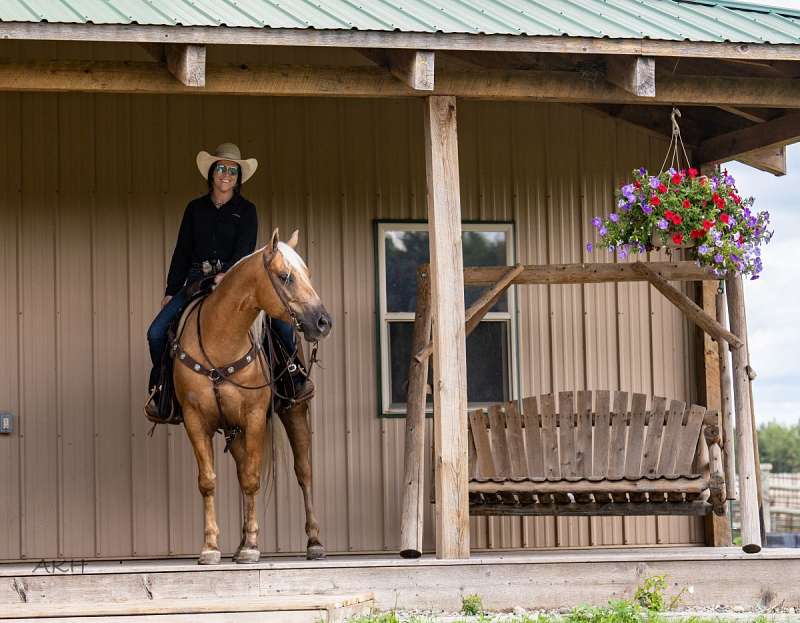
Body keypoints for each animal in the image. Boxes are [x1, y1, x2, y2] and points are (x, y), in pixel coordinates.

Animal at [171, 228, 332, 564]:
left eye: (307, 274)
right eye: (286, 277)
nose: (323, 322)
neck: (220, 341)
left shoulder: (255, 417)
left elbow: (252, 479)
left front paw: (252, 547)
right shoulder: (195, 420)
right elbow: (209, 480)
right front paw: (211, 546)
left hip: (293, 412)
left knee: (304, 471)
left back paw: (314, 541)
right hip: (234, 431)